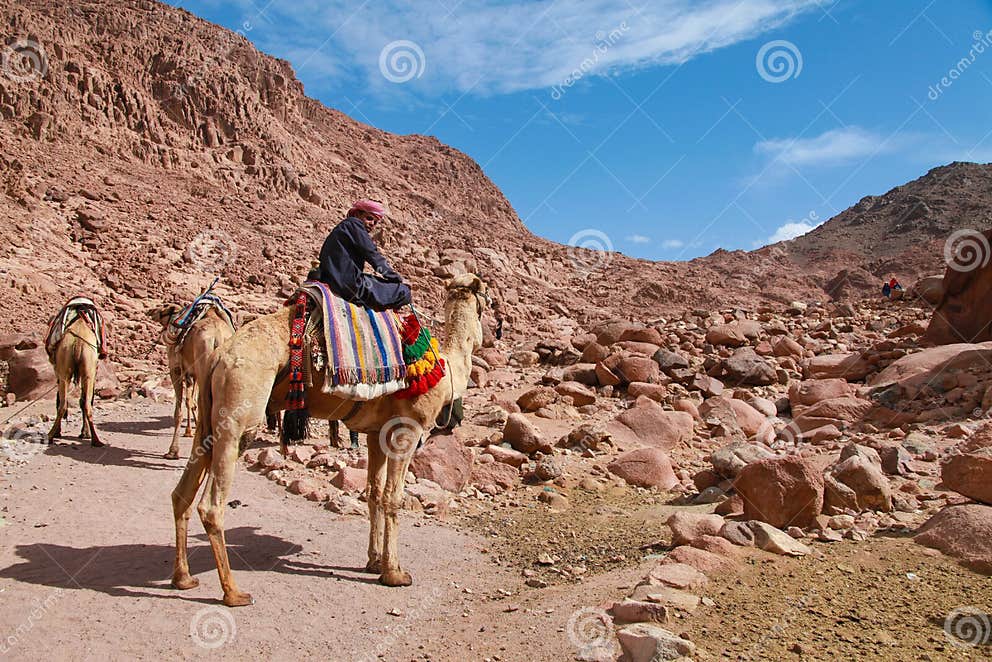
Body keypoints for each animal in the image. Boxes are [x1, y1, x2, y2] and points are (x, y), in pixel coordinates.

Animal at [48, 317, 103, 446]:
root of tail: (77, 342)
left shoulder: (58, 372)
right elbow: (84, 400)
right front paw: (85, 433)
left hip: (65, 369)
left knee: (63, 403)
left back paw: (51, 435)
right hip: (88, 370)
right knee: (86, 403)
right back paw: (95, 439)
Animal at [148, 304, 235, 459]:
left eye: (163, 308)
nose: (151, 311)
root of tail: (218, 337)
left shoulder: (176, 370)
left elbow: (179, 410)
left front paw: (173, 451)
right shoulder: (191, 375)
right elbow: (190, 401)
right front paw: (188, 431)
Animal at [170, 273, 489, 606]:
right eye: (487, 301)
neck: (444, 365)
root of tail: (220, 355)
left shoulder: (376, 433)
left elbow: (373, 492)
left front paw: (374, 561)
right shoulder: (407, 429)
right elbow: (392, 497)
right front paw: (394, 573)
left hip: (209, 415)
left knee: (181, 492)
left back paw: (184, 578)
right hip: (239, 411)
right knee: (211, 505)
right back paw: (233, 592)